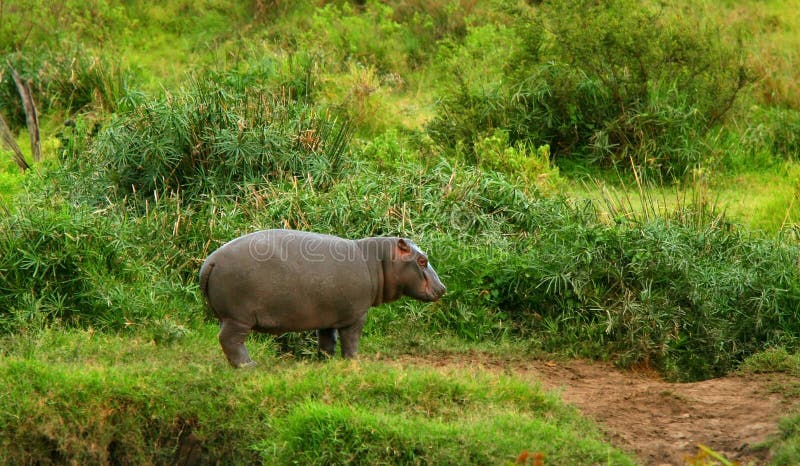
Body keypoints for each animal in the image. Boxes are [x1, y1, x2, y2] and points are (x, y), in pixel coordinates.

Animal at [199, 229, 446, 367]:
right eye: (422, 261)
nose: (443, 288)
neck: (378, 261)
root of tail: (210, 261)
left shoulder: (329, 316)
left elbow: (328, 341)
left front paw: (325, 362)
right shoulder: (356, 316)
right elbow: (351, 340)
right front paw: (354, 362)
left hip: (227, 316)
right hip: (237, 318)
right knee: (230, 340)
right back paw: (248, 365)